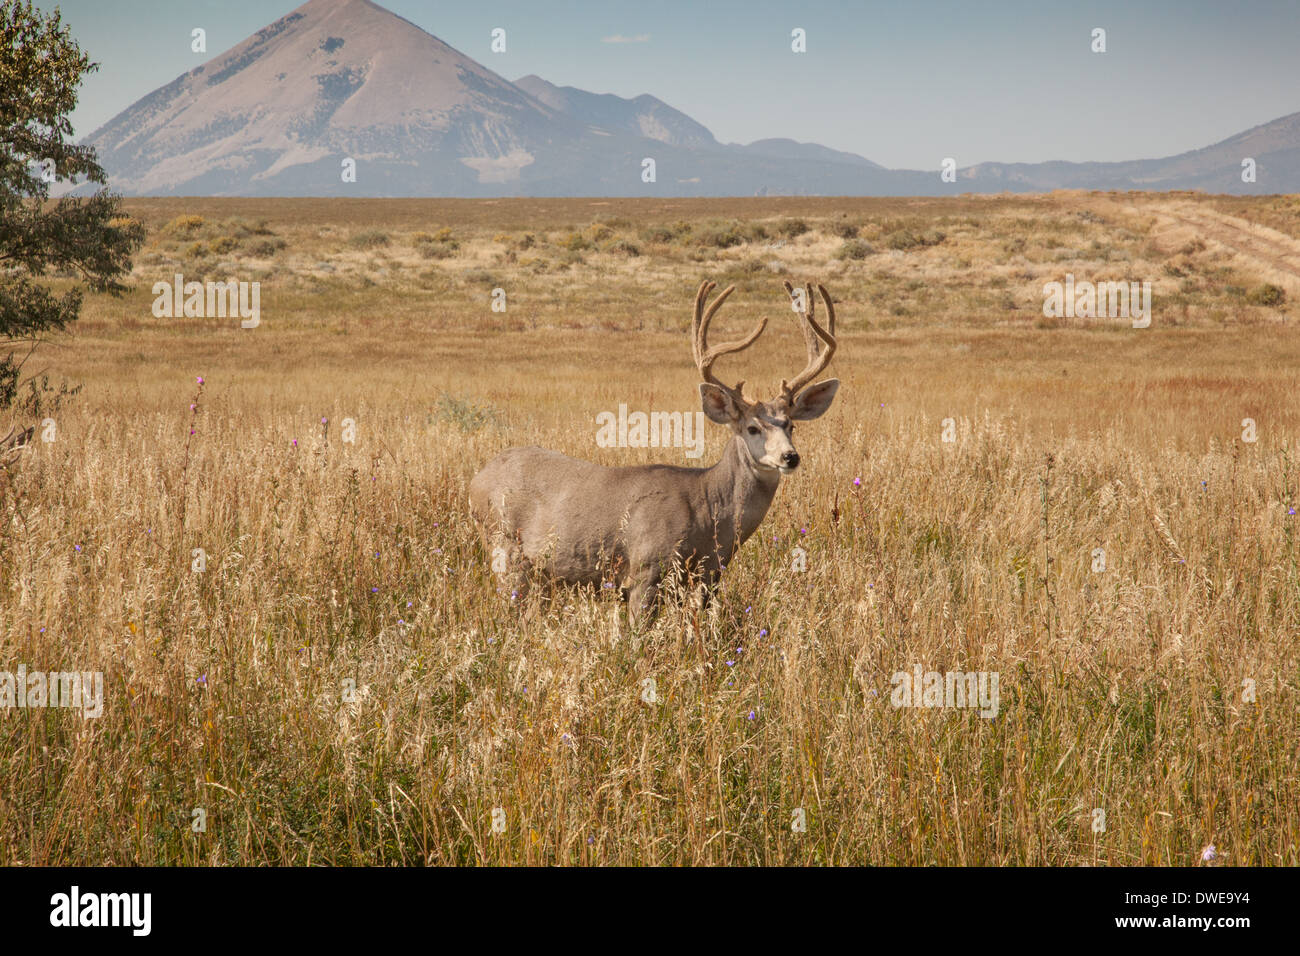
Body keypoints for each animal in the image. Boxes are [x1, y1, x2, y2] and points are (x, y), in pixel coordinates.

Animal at [469, 279, 839, 625]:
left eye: (790, 425)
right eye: (752, 427)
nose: (790, 457)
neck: (706, 507)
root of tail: (477, 479)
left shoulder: (709, 577)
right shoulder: (646, 568)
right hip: (503, 546)